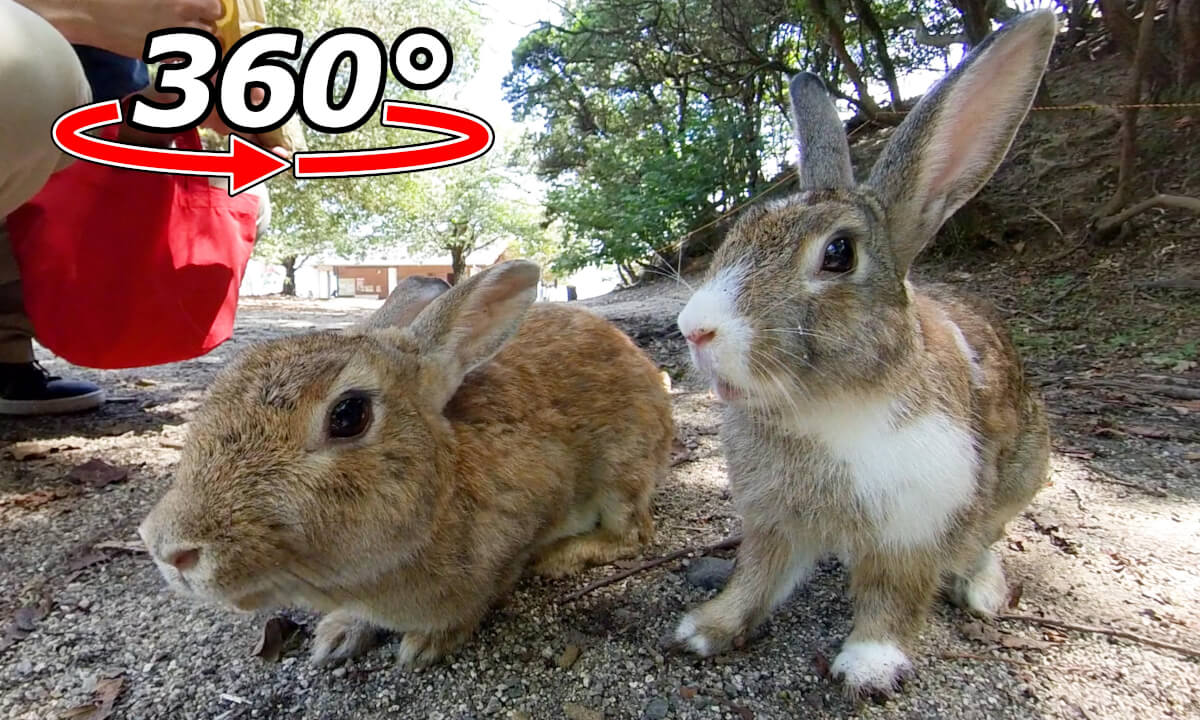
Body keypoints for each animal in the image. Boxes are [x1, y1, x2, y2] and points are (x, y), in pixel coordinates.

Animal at [138, 261, 675, 668]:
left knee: (634, 532)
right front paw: (339, 635)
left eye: (349, 415)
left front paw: (427, 644)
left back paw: (562, 556)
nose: (167, 551)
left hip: (620, 471)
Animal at [668, 9, 1056, 697]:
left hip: (1022, 472)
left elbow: (892, 598)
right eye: (738, 233)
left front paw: (868, 665)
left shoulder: (913, 528)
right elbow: (756, 577)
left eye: (839, 253)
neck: (824, 407)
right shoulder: (771, 522)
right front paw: (706, 628)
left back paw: (981, 592)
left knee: (987, 537)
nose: (696, 330)